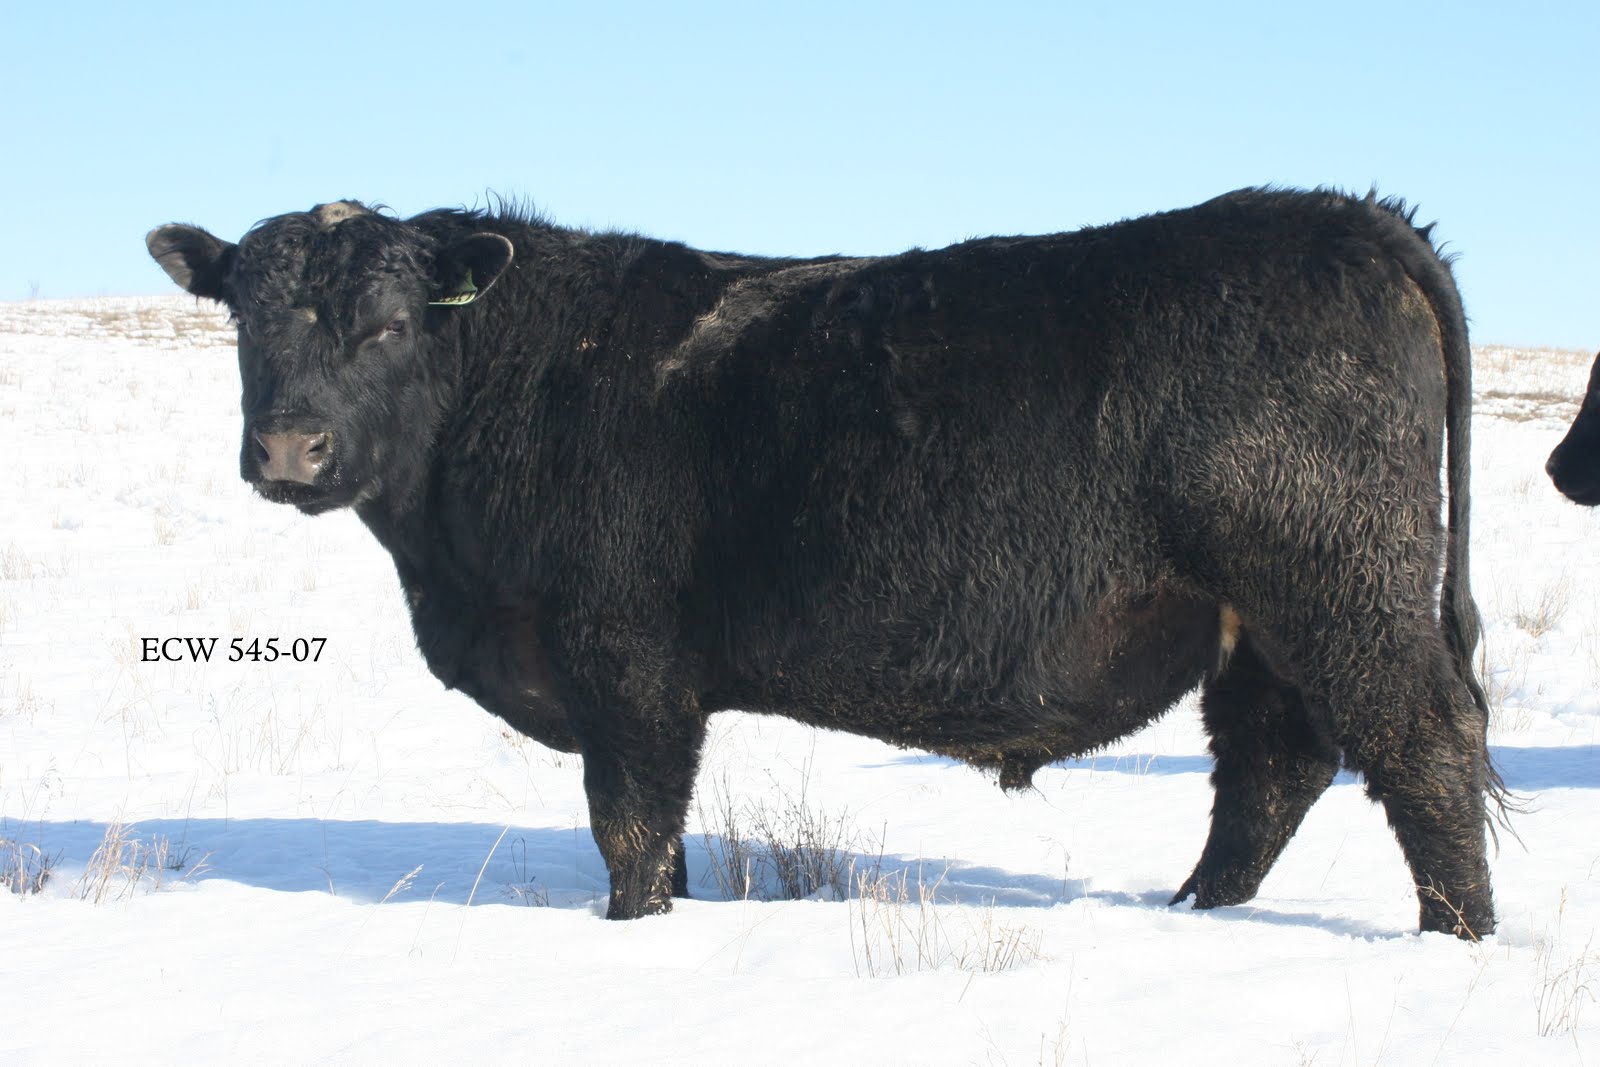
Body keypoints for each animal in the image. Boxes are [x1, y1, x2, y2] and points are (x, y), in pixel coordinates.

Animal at [147, 188, 1499, 937]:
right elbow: (661, 831)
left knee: (1421, 744)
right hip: (1259, 621)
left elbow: (631, 825)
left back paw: (1459, 935)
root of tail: (1340, 212)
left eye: (386, 325)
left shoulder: (626, 660)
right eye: (243, 320)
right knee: (1273, 764)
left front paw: (632, 926)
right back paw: (1193, 911)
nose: (290, 446)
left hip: (1340, 588)